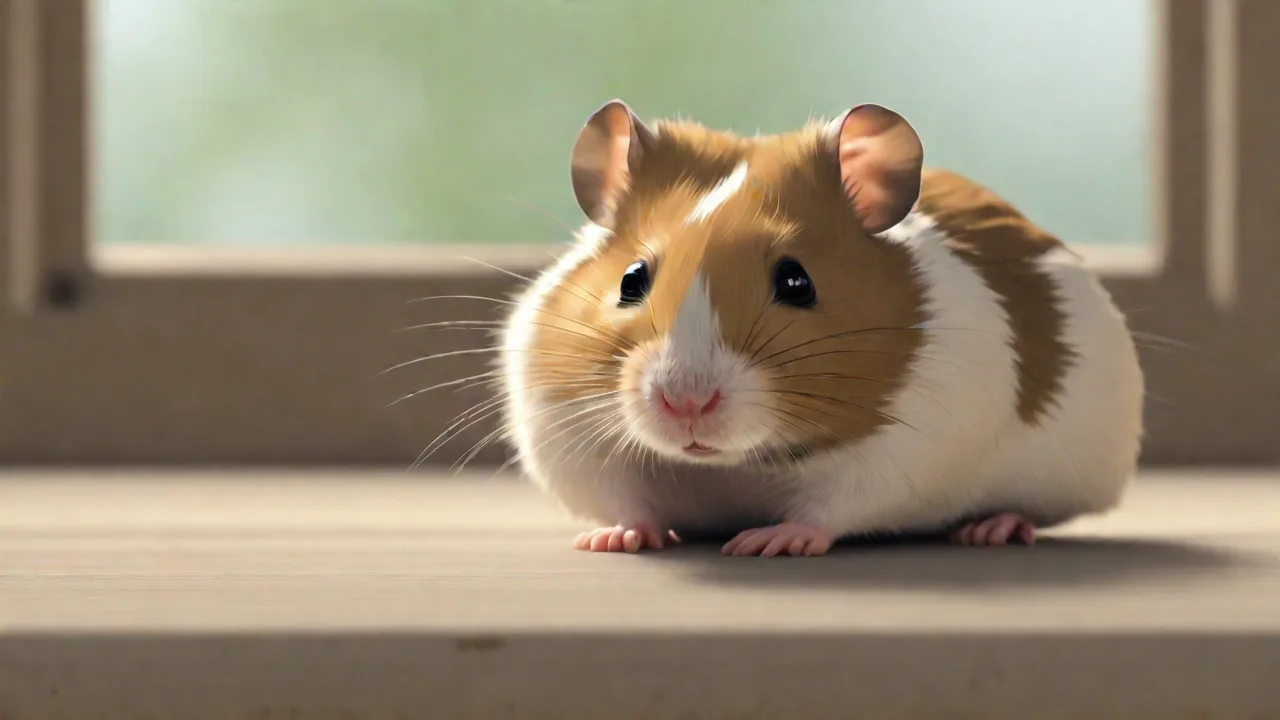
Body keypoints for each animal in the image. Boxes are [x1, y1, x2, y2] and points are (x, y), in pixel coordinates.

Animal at [499, 99, 1144, 556]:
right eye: (632, 279)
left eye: (797, 282)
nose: (687, 404)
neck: (731, 464)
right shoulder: (566, 432)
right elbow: (626, 503)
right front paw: (611, 540)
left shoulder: (907, 451)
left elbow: (829, 511)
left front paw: (763, 544)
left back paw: (991, 529)